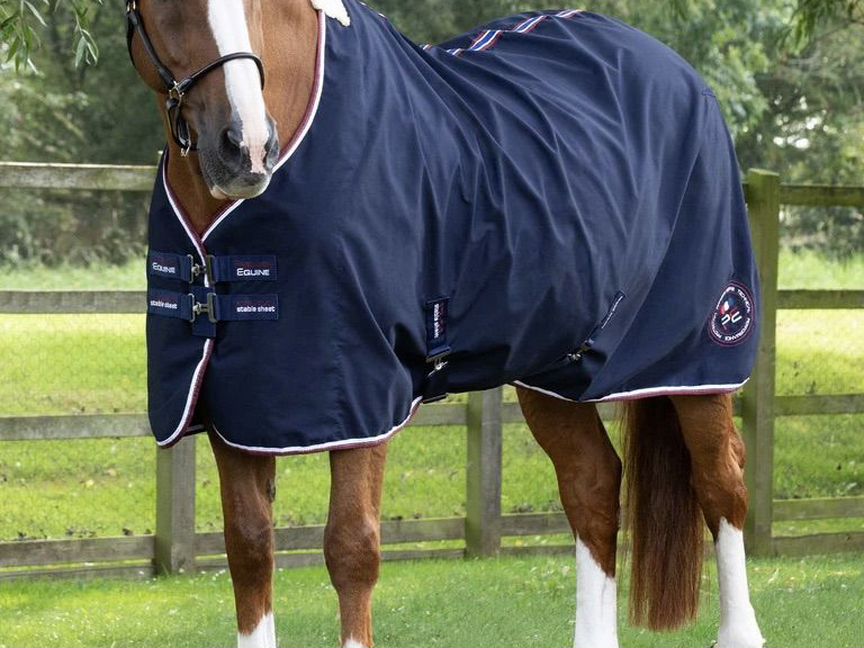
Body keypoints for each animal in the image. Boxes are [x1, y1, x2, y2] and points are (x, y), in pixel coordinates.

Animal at [126, 1, 766, 647]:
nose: (247, 148)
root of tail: (679, 73)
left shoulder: (364, 398)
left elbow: (351, 550)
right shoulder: (235, 405)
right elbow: (251, 550)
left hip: (694, 359)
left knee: (721, 481)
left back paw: (740, 629)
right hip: (553, 370)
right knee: (592, 485)